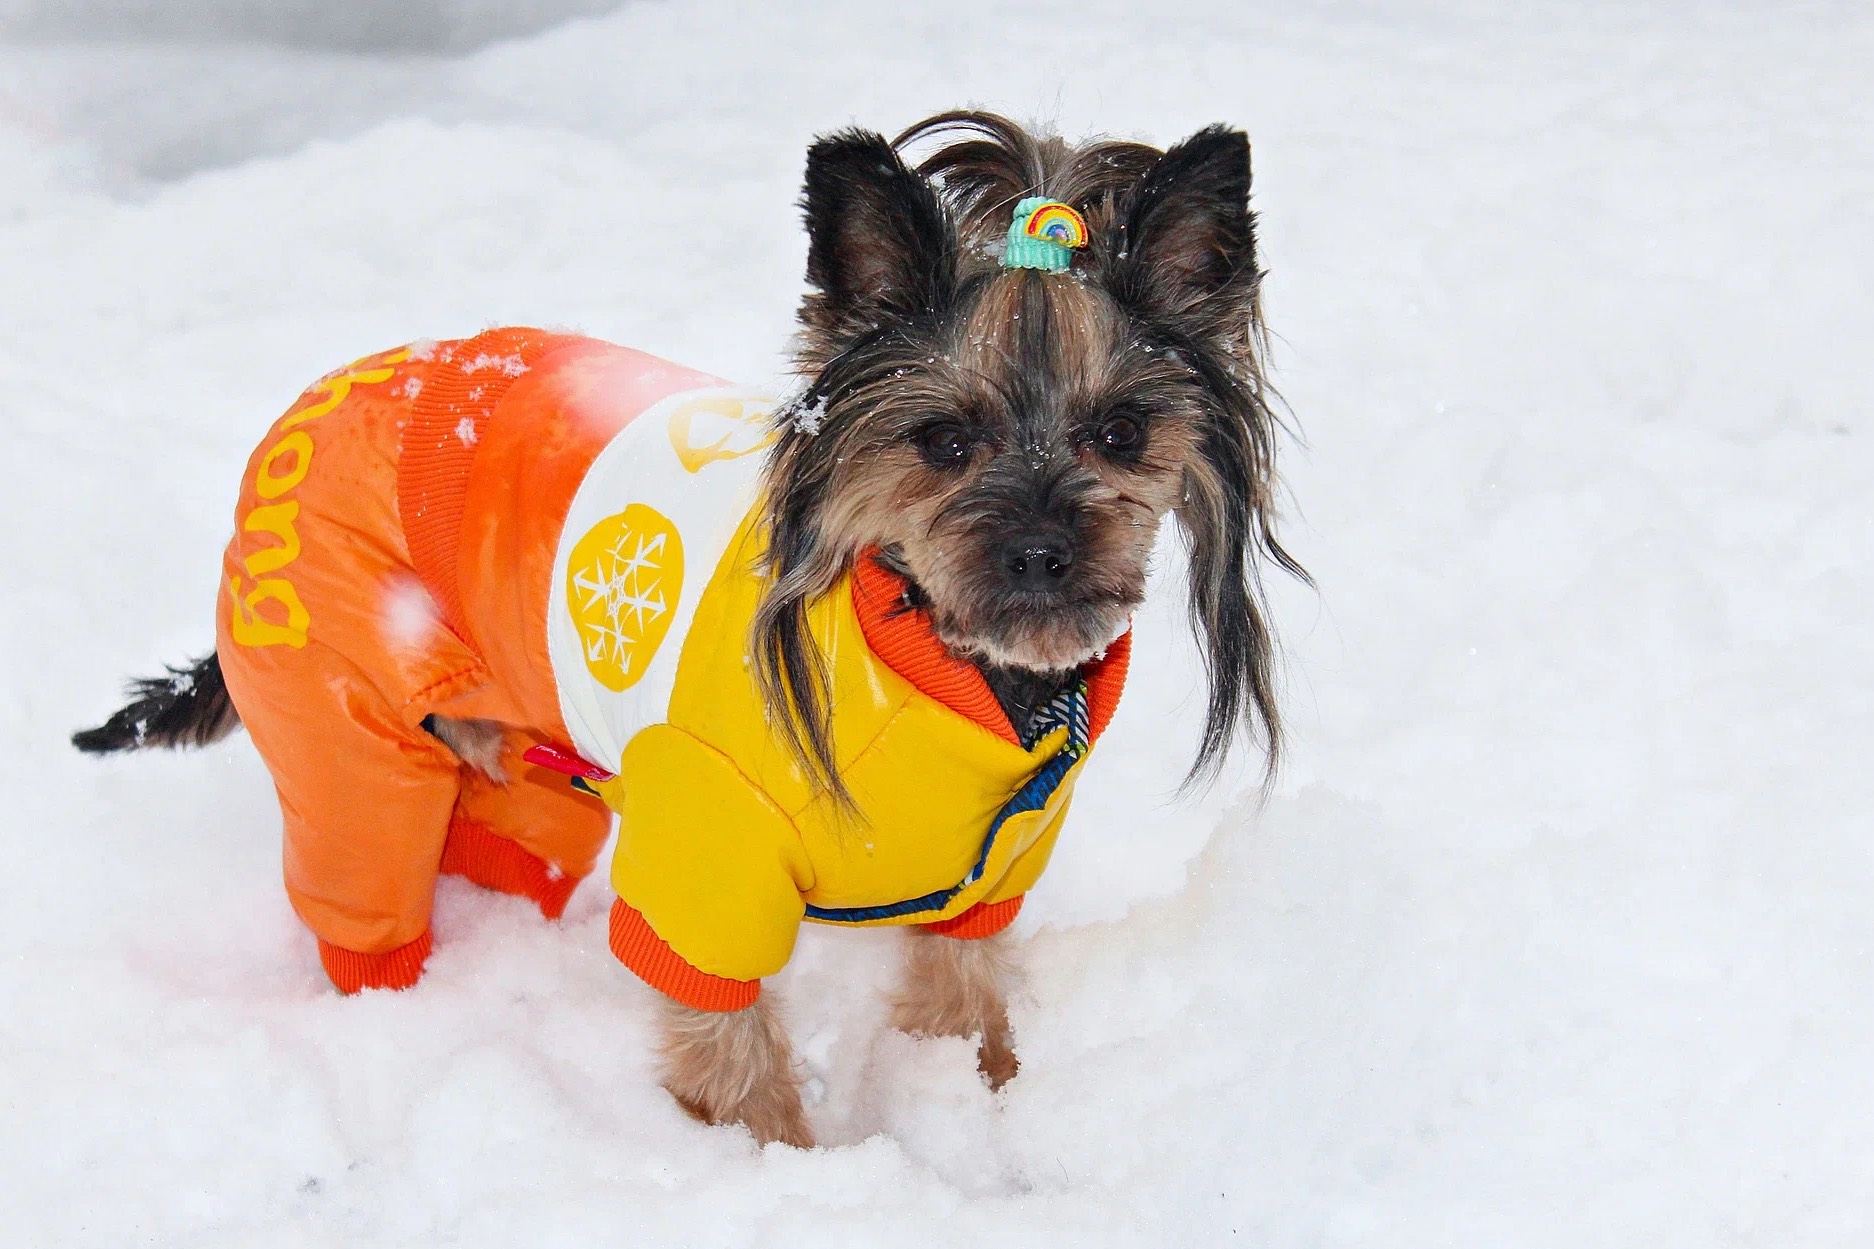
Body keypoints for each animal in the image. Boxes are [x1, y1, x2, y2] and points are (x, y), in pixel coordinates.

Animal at [76, 112, 1304, 1140]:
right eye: (945, 441)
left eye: (1122, 429)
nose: (1044, 551)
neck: (936, 665)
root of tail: (309, 414)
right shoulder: (708, 855)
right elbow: (732, 1049)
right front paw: (779, 1170)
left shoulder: (984, 877)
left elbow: (961, 1003)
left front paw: (982, 1107)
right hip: (347, 735)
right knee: (364, 877)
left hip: (516, 757)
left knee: (502, 851)